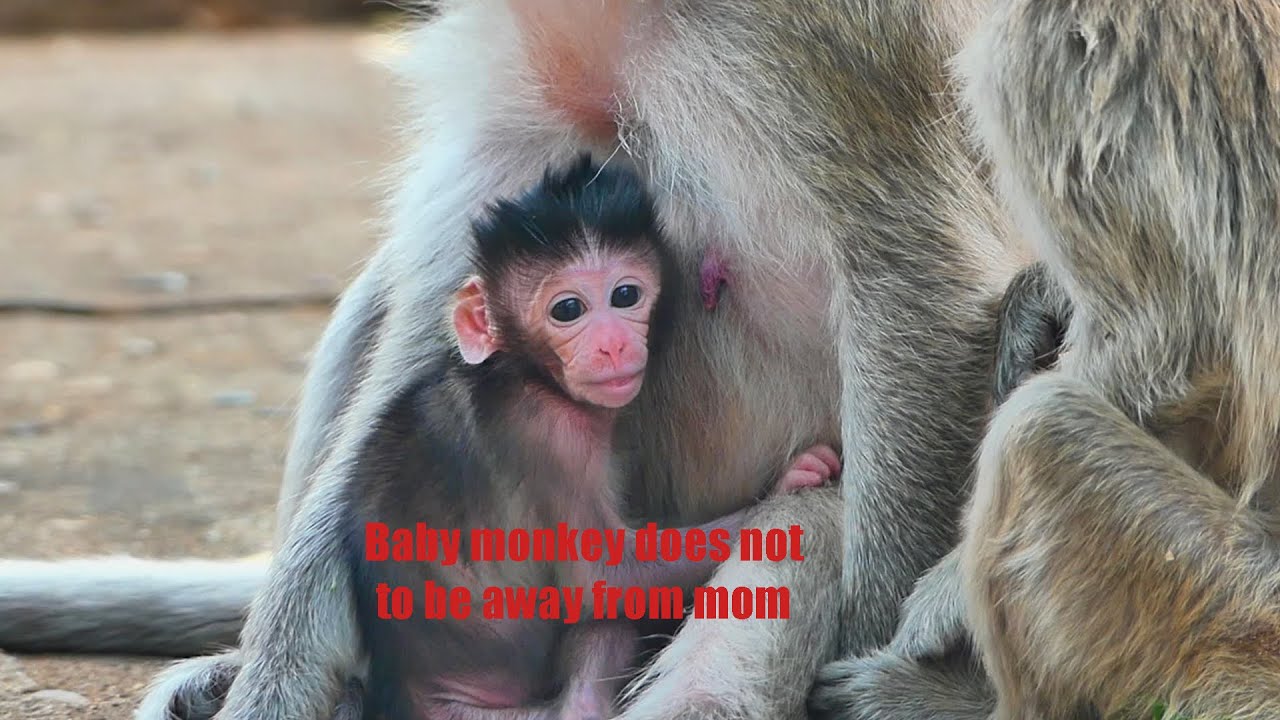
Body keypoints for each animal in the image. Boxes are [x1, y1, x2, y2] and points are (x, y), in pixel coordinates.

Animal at [347, 155, 837, 720]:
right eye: (567, 310)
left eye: (626, 296)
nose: (611, 345)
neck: (525, 374)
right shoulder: (553, 438)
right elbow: (604, 580)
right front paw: (787, 482)